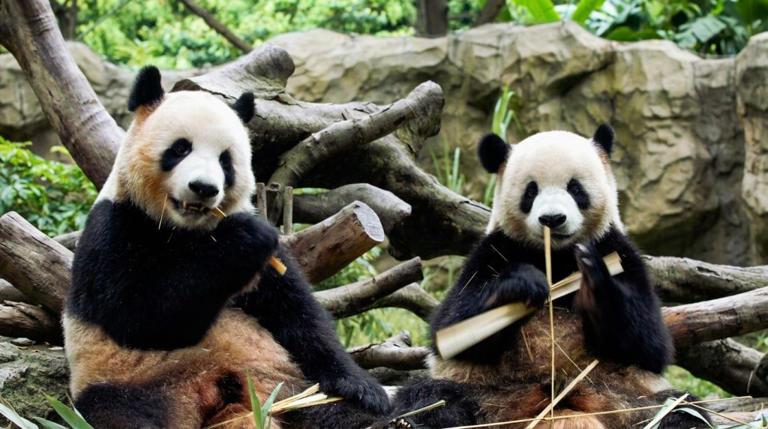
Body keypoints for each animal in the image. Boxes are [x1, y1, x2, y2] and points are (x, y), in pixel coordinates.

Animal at [63, 66, 391, 429]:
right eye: (180, 148)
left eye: (226, 161)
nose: (204, 188)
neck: (185, 230)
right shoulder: (115, 227)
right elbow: (136, 317)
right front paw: (243, 239)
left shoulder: (270, 267)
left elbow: (299, 317)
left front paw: (362, 388)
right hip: (130, 381)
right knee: (121, 414)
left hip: (284, 384)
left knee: (334, 411)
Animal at [379, 126, 711, 429]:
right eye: (531, 191)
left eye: (575, 188)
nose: (552, 218)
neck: (557, 256)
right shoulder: (493, 250)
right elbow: (451, 325)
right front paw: (522, 283)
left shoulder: (618, 251)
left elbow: (651, 343)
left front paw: (594, 285)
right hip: (484, 392)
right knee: (431, 397)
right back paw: (408, 422)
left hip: (625, 396)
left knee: (679, 409)